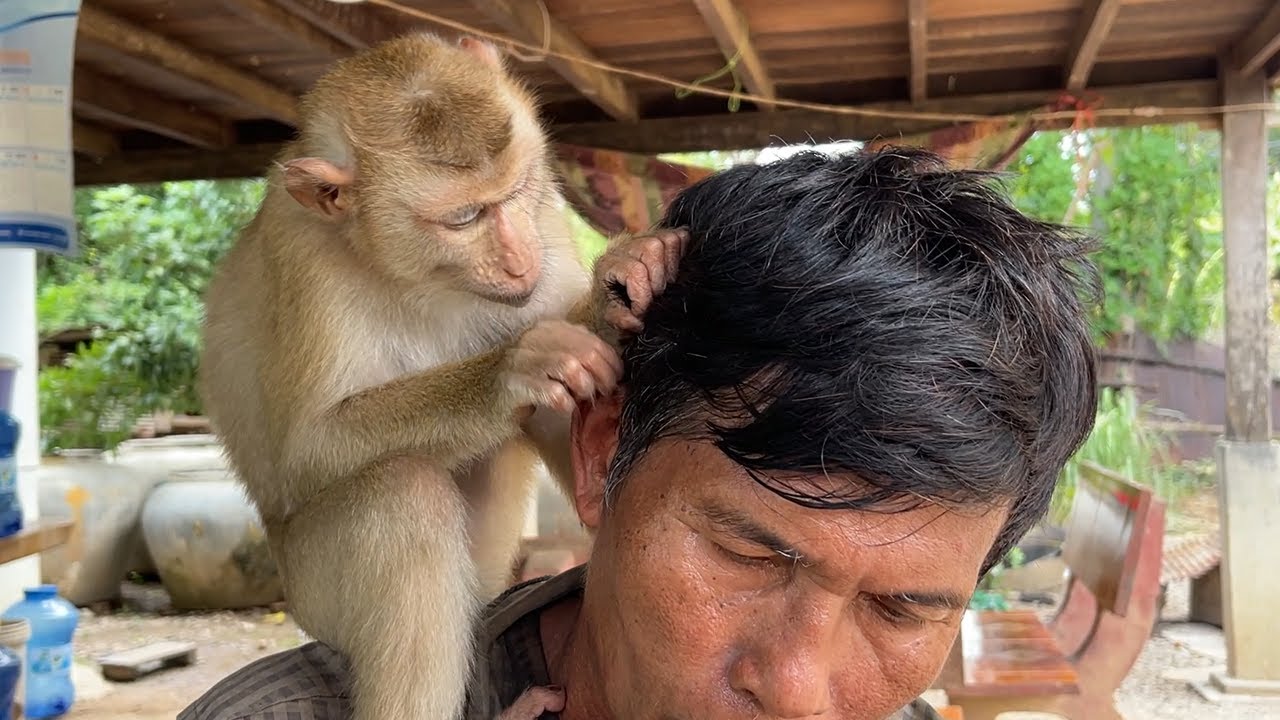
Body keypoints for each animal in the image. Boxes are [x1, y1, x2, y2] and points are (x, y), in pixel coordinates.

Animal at [197, 32, 687, 720]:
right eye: (462, 218)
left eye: (517, 189)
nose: (519, 261)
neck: (426, 279)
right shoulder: (305, 258)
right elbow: (305, 454)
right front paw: (520, 366)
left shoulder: (545, 215)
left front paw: (619, 282)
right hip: (311, 593)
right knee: (404, 495)